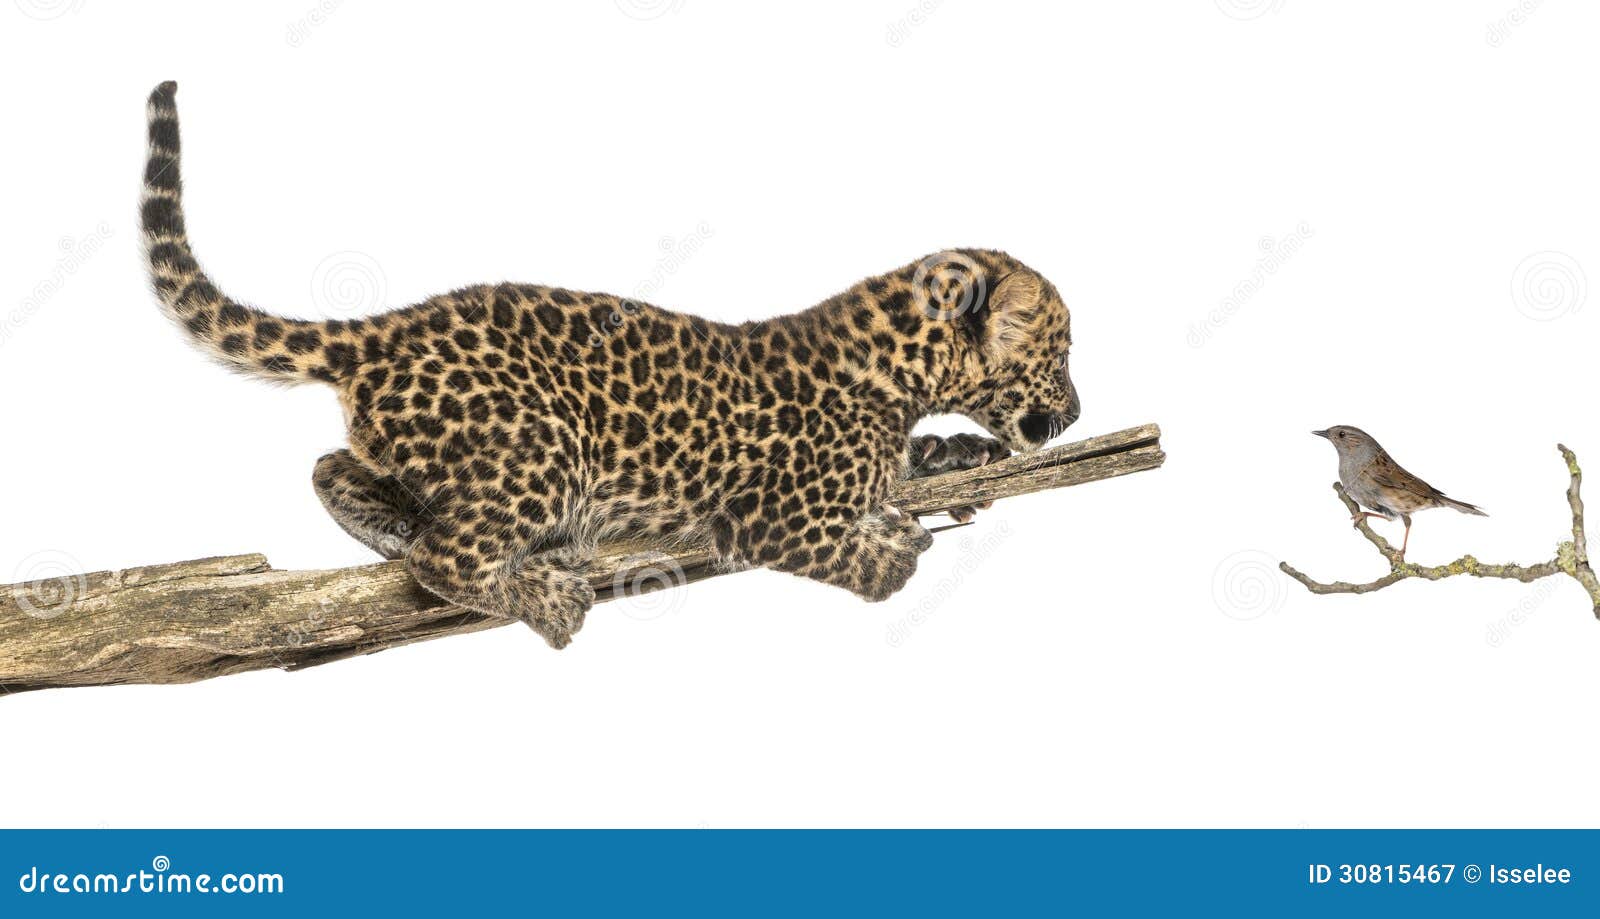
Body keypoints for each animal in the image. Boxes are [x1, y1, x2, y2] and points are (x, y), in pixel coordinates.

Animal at [139, 82, 1081, 649]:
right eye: (1062, 350)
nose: (1074, 411)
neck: (895, 370)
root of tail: (382, 330)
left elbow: (910, 465)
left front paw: (963, 459)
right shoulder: (765, 515)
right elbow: (844, 552)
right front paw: (892, 553)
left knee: (330, 463)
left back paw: (392, 525)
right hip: (542, 447)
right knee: (444, 557)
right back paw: (543, 596)